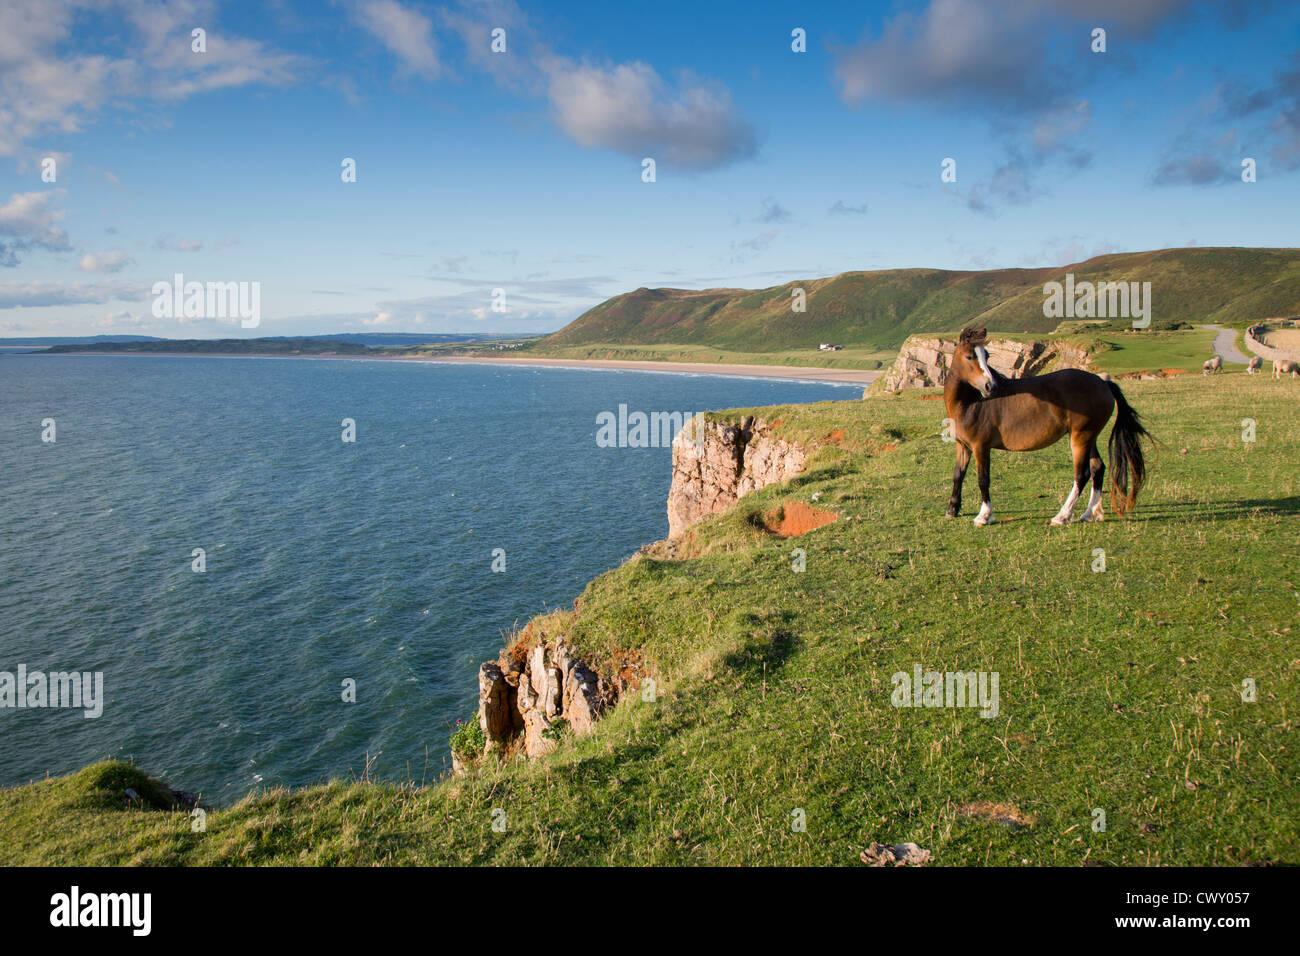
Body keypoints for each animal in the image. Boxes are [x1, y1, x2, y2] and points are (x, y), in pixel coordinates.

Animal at [943, 327, 1151, 527]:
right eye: (969, 356)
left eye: (986, 356)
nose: (990, 386)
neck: (971, 403)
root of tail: (1103, 383)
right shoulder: (963, 446)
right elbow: (958, 475)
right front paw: (952, 509)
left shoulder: (981, 447)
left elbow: (983, 479)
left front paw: (984, 515)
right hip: (1089, 437)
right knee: (1097, 468)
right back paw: (1091, 513)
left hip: (1081, 437)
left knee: (1082, 474)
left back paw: (1062, 516)